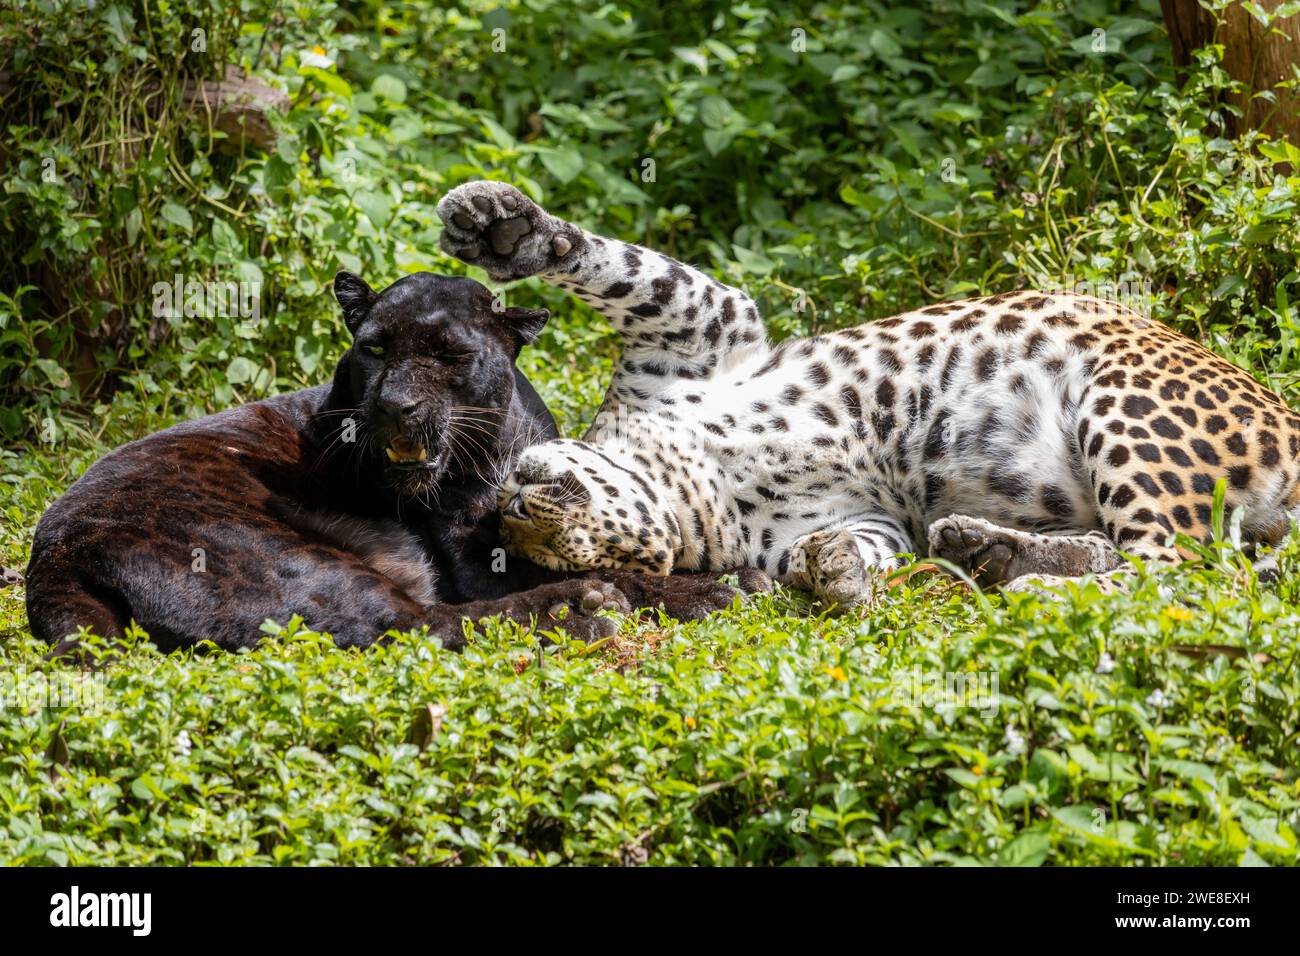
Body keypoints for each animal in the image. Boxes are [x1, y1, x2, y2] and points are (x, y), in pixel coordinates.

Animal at [435, 180, 1300, 608]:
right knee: (1171, 566)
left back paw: (1031, 585)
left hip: (1123, 401)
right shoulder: (862, 517)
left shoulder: (700, 326)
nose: (513, 507)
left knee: (1191, 571)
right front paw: (834, 570)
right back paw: (996, 556)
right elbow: (862, 548)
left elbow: (621, 267)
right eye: (539, 561)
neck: (692, 479)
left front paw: (503, 226)